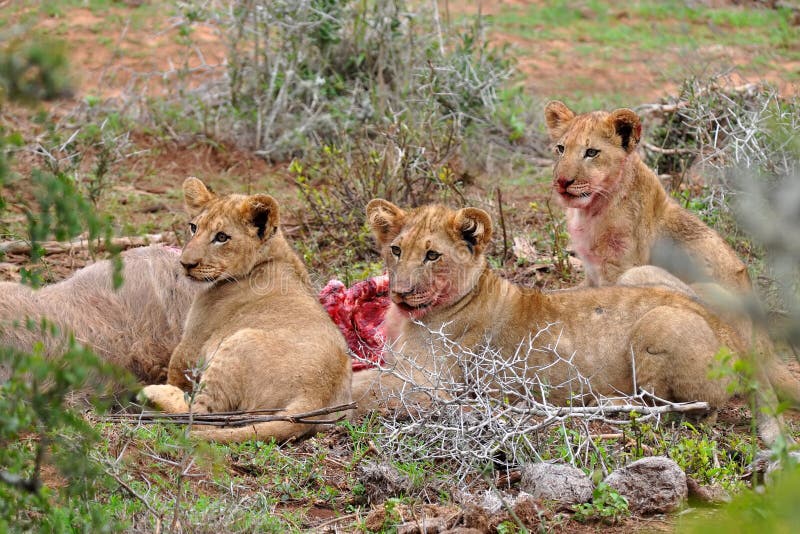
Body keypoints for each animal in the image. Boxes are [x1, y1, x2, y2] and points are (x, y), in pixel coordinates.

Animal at [141, 178, 352, 443]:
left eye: (222, 237)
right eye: (193, 227)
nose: (185, 264)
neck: (272, 255)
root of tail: (316, 394)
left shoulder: (194, 340)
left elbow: (177, 370)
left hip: (238, 342)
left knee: (200, 418)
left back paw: (152, 394)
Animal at [350, 199, 799, 444]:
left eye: (432, 255)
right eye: (396, 249)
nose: (400, 291)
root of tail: (737, 336)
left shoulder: (429, 387)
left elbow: (363, 390)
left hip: (658, 325)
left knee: (689, 411)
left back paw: (608, 406)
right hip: (638, 275)